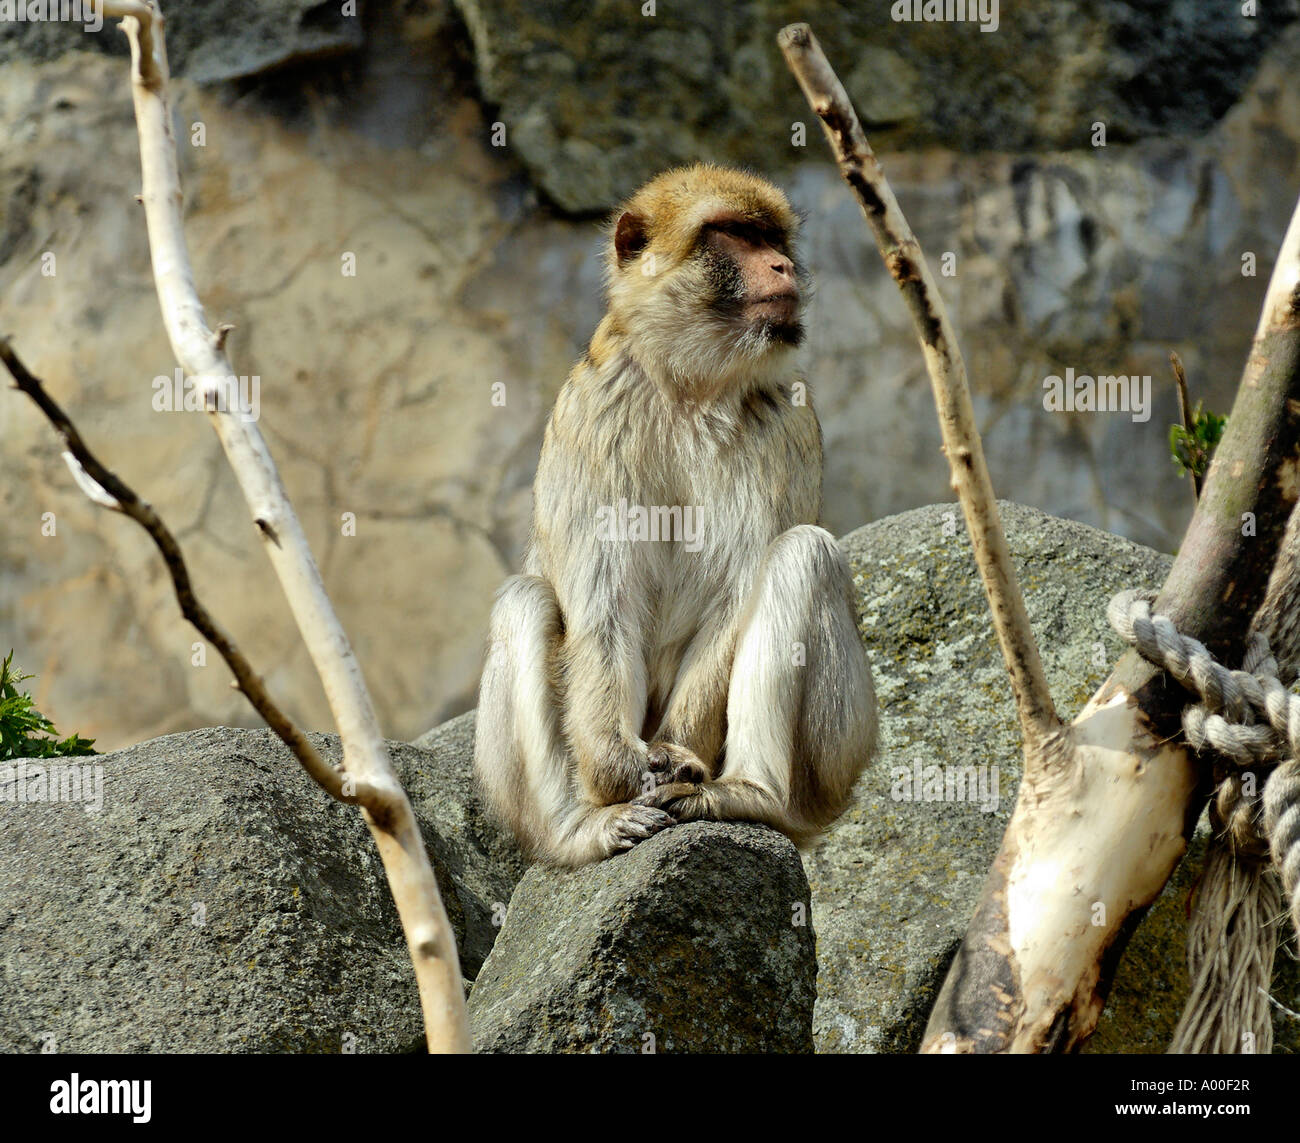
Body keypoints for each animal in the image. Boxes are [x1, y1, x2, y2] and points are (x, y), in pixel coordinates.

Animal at [473, 163, 878, 866]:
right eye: (734, 235)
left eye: (772, 238)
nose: (782, 266)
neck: (692, 385)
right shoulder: (595, 408)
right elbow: (602, 603)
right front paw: (623, 772)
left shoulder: (787, 421)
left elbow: (738, 593)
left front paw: (682, 758)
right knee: (526, 598)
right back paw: (580, 829)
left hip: (830, 773)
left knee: (805, 552)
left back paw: (750, 794)